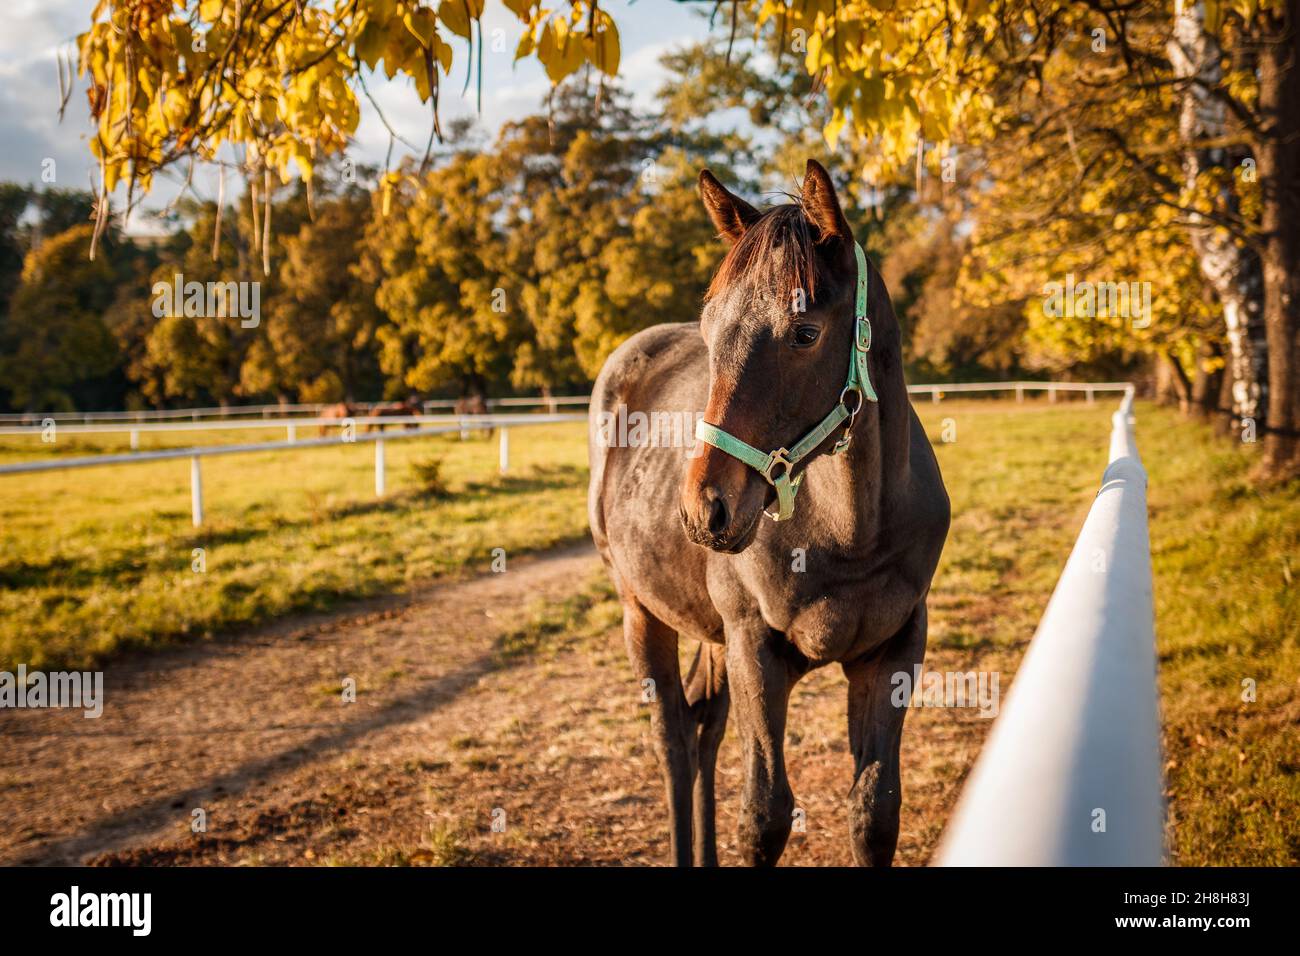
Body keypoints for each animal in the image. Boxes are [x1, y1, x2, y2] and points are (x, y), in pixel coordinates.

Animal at [587, 160, 950, 867]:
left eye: (804, 332)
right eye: (710, 332)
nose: (705, 509)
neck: (853, 531)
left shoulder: (894, 651)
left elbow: (875, 813)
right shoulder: (755, 647)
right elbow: (764, 816)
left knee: (702, 728)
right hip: (641, 611)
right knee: (674, 743)